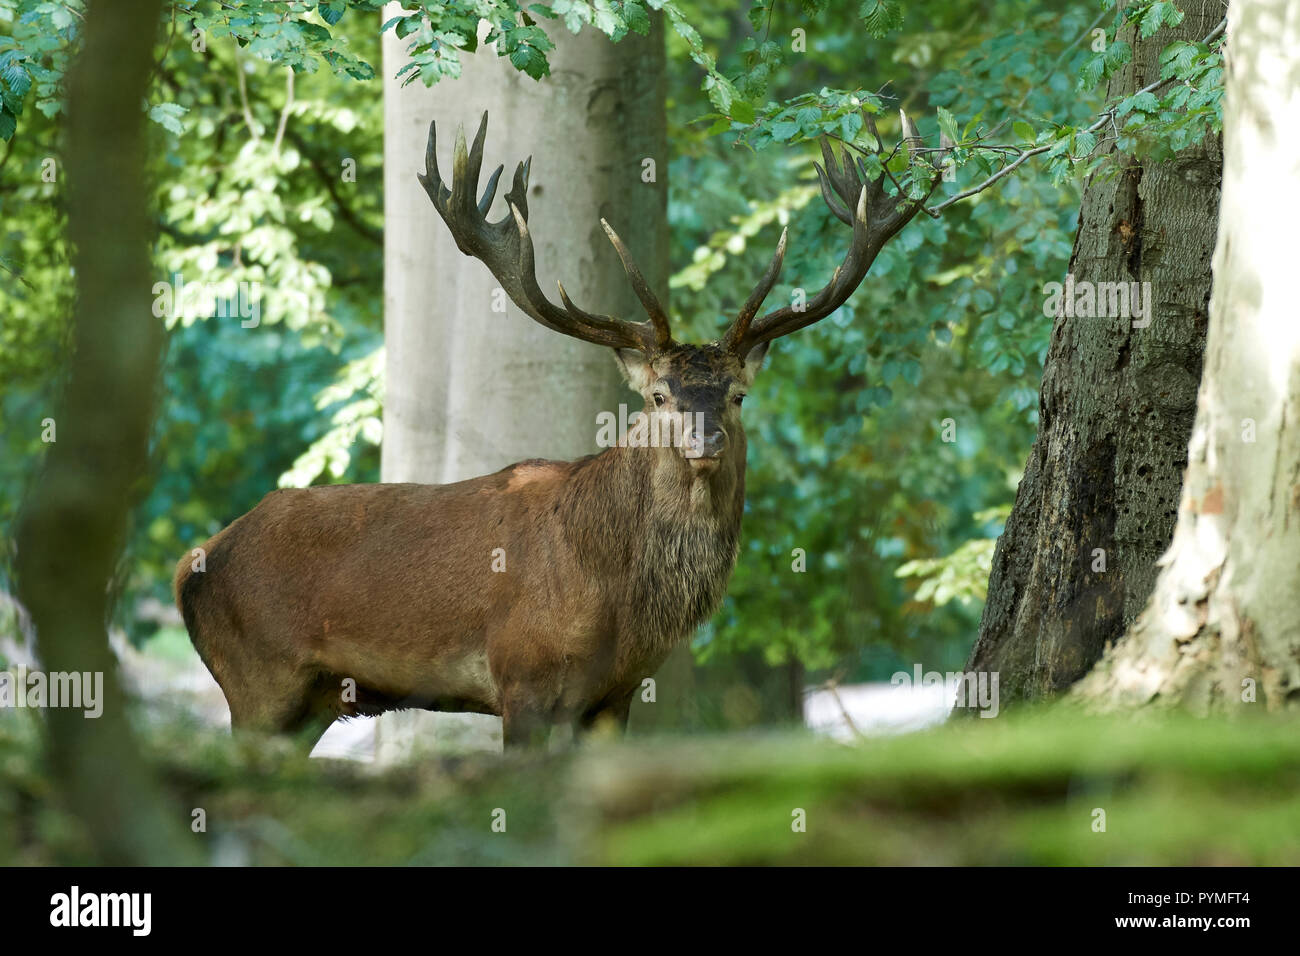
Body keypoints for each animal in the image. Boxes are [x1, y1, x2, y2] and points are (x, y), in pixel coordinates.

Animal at [174, 111, 940, 751]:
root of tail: (191, 564)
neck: (617, 603)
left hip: (309, 701)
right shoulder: (523, 678)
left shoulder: (613, 697)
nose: (705, 441)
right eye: (658, 395)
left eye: (739, 395)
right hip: (259, 679)